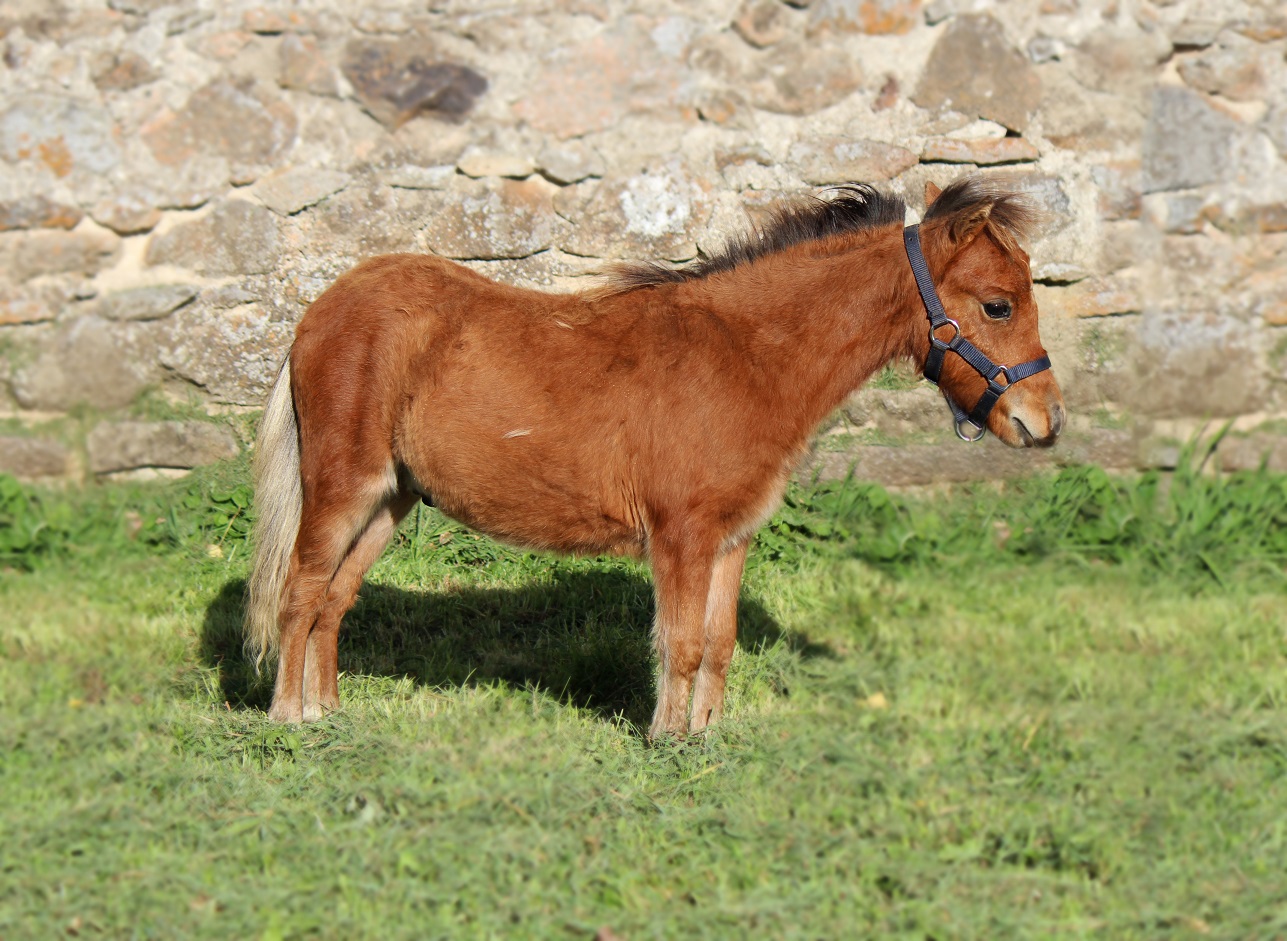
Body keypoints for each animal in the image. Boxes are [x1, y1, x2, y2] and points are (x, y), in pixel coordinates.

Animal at [245, 176, 1066, 738]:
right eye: (997, 304)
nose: (1045, 421)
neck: (745, 356)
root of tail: (322, 310)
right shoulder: (681, 536)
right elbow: (680, 642)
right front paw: (666, 739)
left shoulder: (730, 537)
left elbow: (719, 642)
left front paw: (704, 738)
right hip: (344, 488)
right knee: (300, 589)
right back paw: (289, 718)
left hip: (391, 498)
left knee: (334, 600)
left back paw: (326, 711)